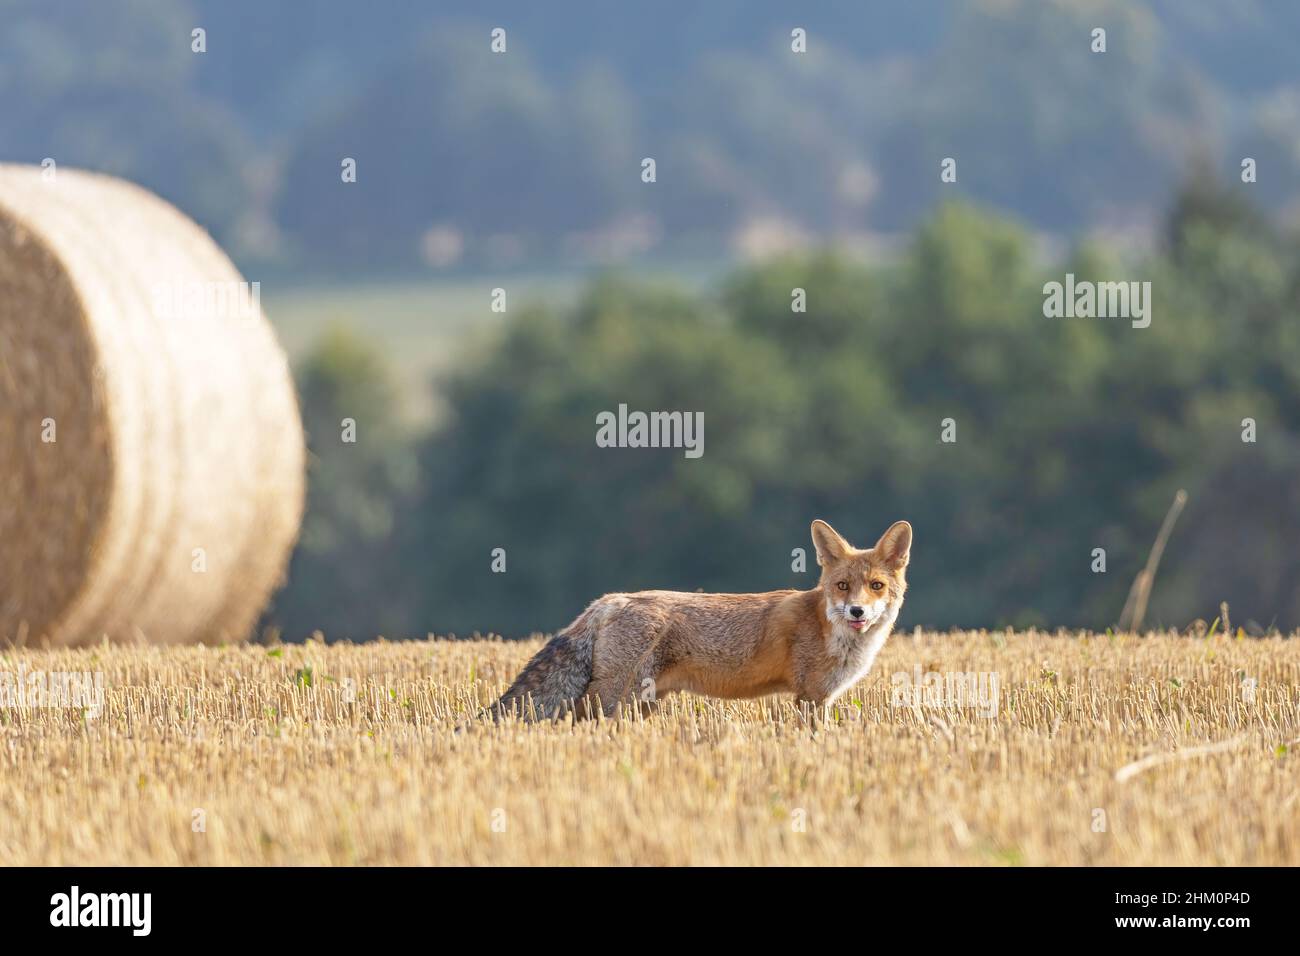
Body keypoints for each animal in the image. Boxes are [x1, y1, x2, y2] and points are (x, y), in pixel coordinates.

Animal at [488, 518, 911, 720]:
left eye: (875, 586)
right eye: (842, 586)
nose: (857, 611)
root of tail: (611, 600)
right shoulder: (810, 697)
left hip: (640, 702)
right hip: (615, 698)